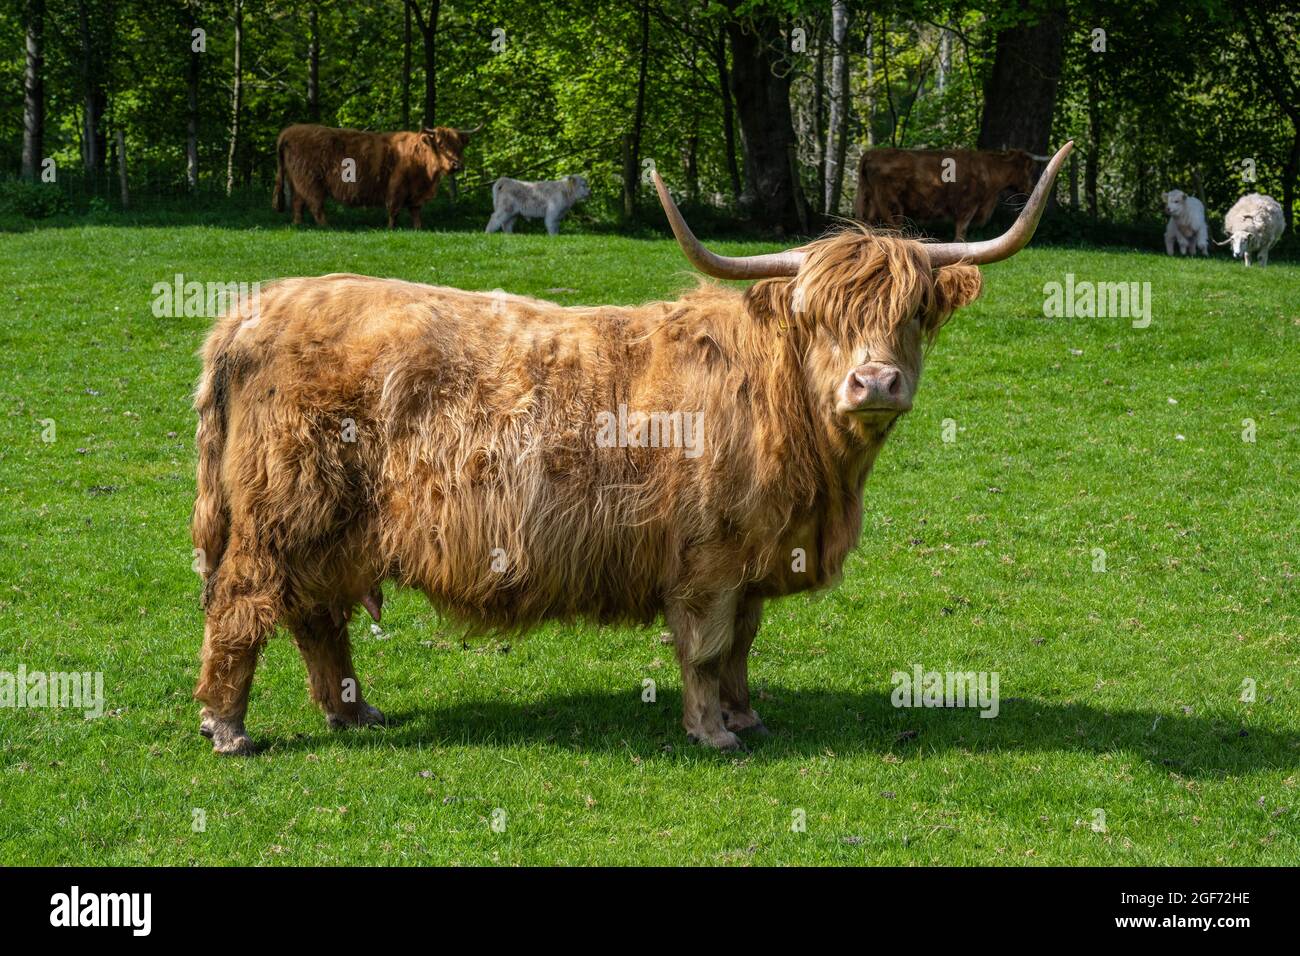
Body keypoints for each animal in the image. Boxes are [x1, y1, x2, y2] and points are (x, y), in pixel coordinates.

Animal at [272, 123, 479, 229]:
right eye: (441, 145)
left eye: (459, 146)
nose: (456, 164)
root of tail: (289, 131)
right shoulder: (397, 186)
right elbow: (394, 210)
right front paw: (391, 228)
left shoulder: (416, 193)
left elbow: (416, 212)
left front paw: (419, 228)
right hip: (310, 181)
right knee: (315, 205)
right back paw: (326, 227)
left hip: (297, 181)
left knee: (298, 203)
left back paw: (298, 224)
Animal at [854, 147, 1043, 240]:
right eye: (1031, 169)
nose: (1032, 187)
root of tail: (872, 153)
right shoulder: (968, 205)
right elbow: (961, 230)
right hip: (891, 204)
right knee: (894, 227)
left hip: (867, 202)